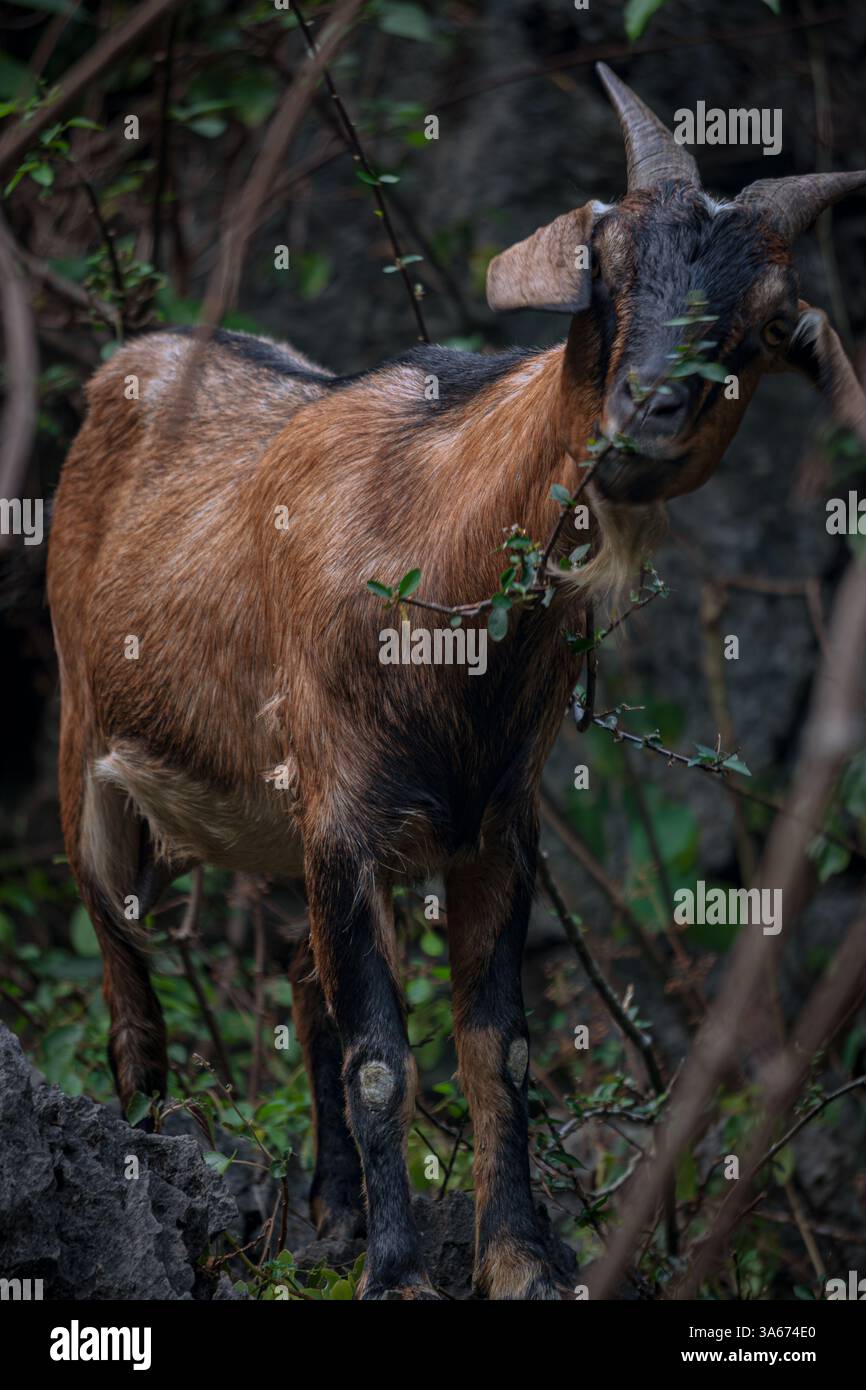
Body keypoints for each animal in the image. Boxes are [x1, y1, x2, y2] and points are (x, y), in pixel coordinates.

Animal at [47, 64, 866, 1299]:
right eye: (606, 268)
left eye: (768, 328)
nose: (648, 416)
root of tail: (126, 360)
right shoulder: (345, 818)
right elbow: (385, 1056)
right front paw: (396, 1272)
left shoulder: (493, 828)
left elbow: (497, 1046)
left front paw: (518, 1255)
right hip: (87, 752)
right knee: (128, 986)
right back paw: (147, 1160)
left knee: (303, 988)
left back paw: (329, 1209)